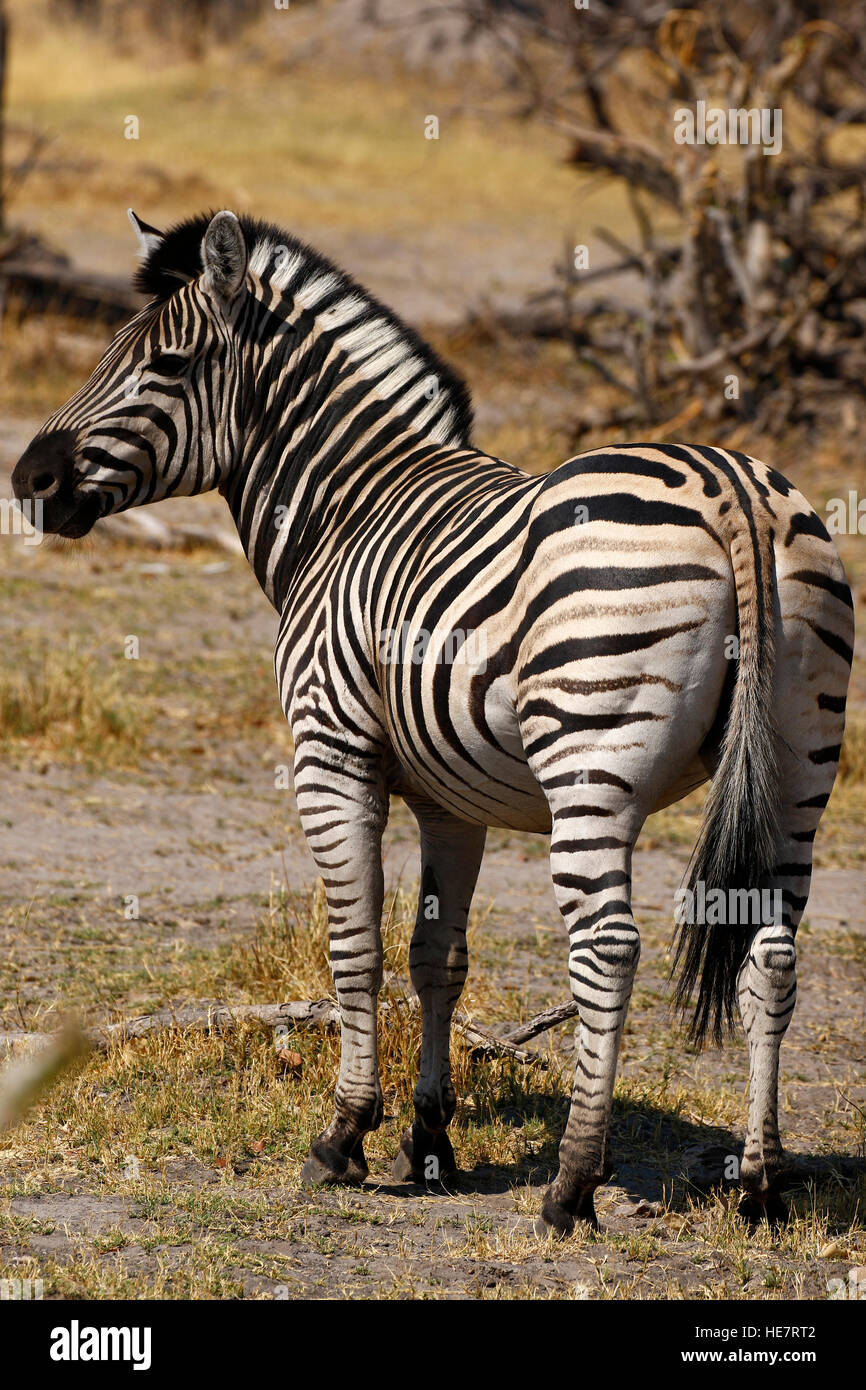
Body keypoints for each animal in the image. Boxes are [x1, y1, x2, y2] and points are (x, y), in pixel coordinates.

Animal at [12, 209, 853, 1234]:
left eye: (166, 366)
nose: (28, 477)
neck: (346, 505)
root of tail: (733, 485)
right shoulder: (456, 799)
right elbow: (435, 956)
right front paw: (429, 1138)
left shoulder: (331, 753)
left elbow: (355, 944)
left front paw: (345, 1134)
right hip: (802, 761)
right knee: (770, 952)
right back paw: (761, 1182)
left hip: (592, 759)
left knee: (608, 948)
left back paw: (571, 1187)